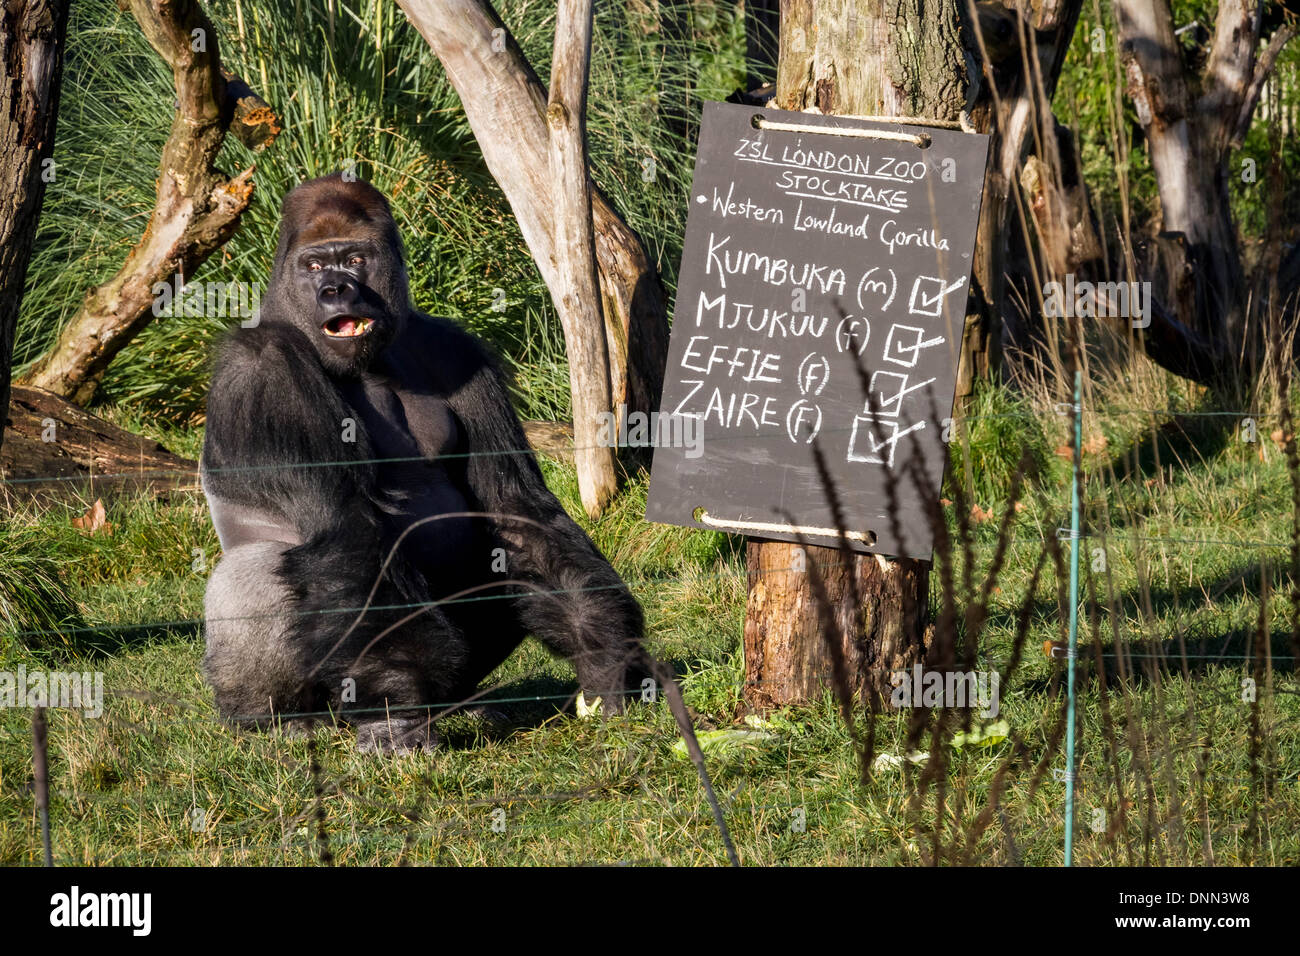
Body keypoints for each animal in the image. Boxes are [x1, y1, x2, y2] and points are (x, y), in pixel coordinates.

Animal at [199, 173, 648, 752]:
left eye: (356, 260)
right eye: (315, 266)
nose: (334, 290)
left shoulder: (455, 348)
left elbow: (514, 507)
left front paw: (607, 653)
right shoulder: (263, 370)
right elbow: (349, 528)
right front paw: (398, 706)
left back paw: (465, 704)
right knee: (254, 569)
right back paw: (279, 718)